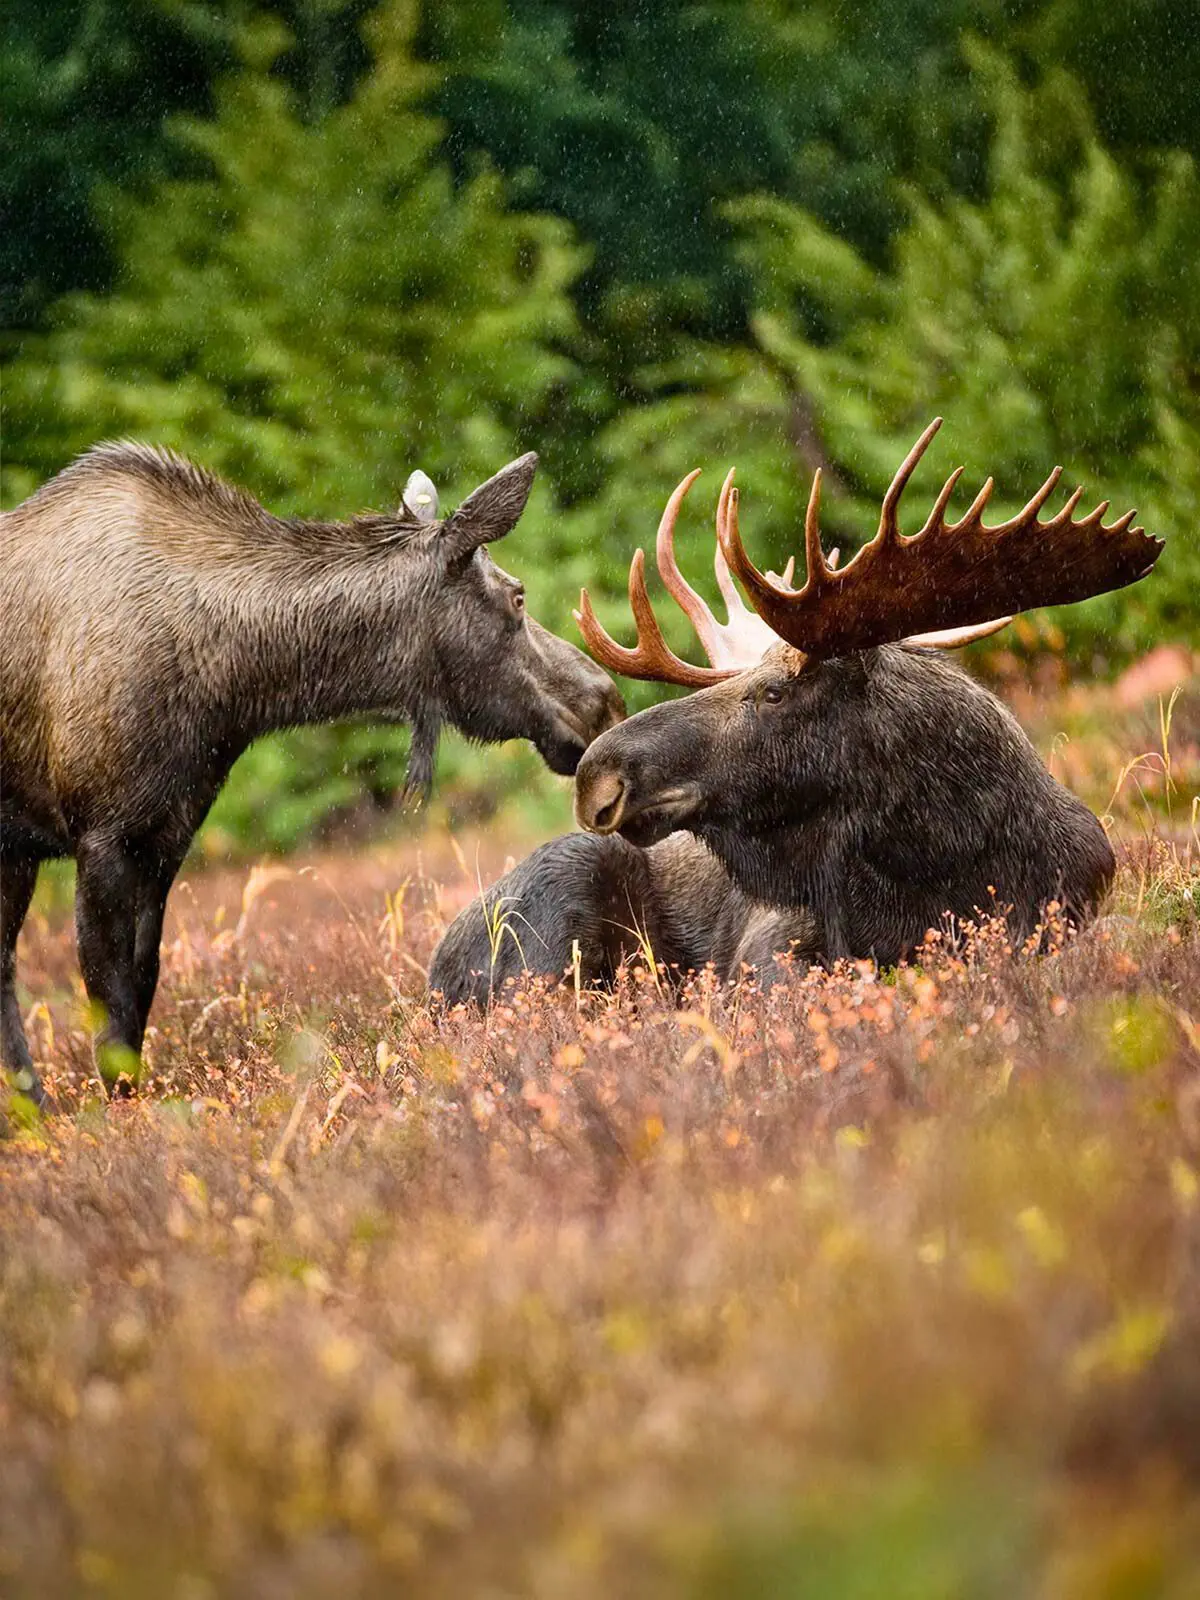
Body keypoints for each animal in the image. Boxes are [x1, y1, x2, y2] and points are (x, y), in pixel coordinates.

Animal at [1, 446, 624, 1109]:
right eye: (518, 597)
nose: (604, 701)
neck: (232, 687)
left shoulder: (165, 835)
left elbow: (142, 987)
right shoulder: (102, 835)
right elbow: (111, 1008)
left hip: (16, 852)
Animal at [428, 420, 1162, 1007]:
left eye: (775, 692)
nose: (597, 774)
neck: (944, 857)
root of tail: (432, 974)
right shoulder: (774, 942)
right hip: (561, 900)